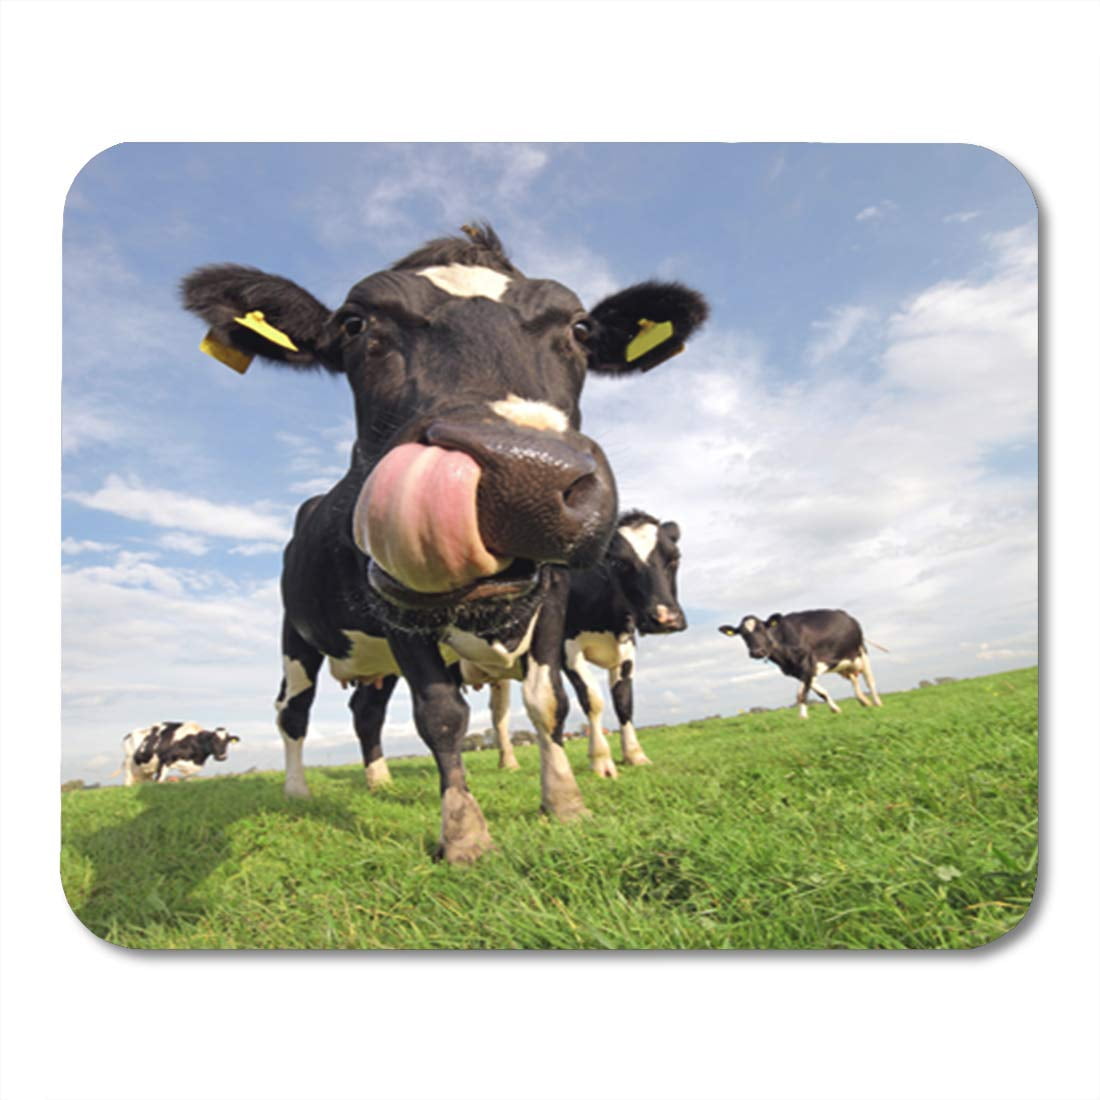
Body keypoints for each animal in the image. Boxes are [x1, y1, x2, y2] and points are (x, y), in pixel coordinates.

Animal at [182, 223, 707, 862]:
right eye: (355, 324)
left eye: (580, 329)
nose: (525, 474)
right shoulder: (397, 606)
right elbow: (441, 714)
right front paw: (463, 833)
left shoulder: (555, 604)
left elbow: (550, 702)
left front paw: (565, 802)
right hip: (297, 637)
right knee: (293, 712)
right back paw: (297, 791)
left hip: (374, 662)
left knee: (365, 712)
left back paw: (378, 780)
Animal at [719, 609, 883, 718]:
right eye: (742, 634)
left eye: (762, 628)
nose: (757, 652)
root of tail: (847, 616)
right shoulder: (796, 671)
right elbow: (819, 692)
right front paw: (835, 709)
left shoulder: (808, 664)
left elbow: (802, 693)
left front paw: (803, 716)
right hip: (844, 663)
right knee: (854, 679)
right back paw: (863, 701)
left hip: (861, 652)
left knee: (870, 681)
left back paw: (876, 702)